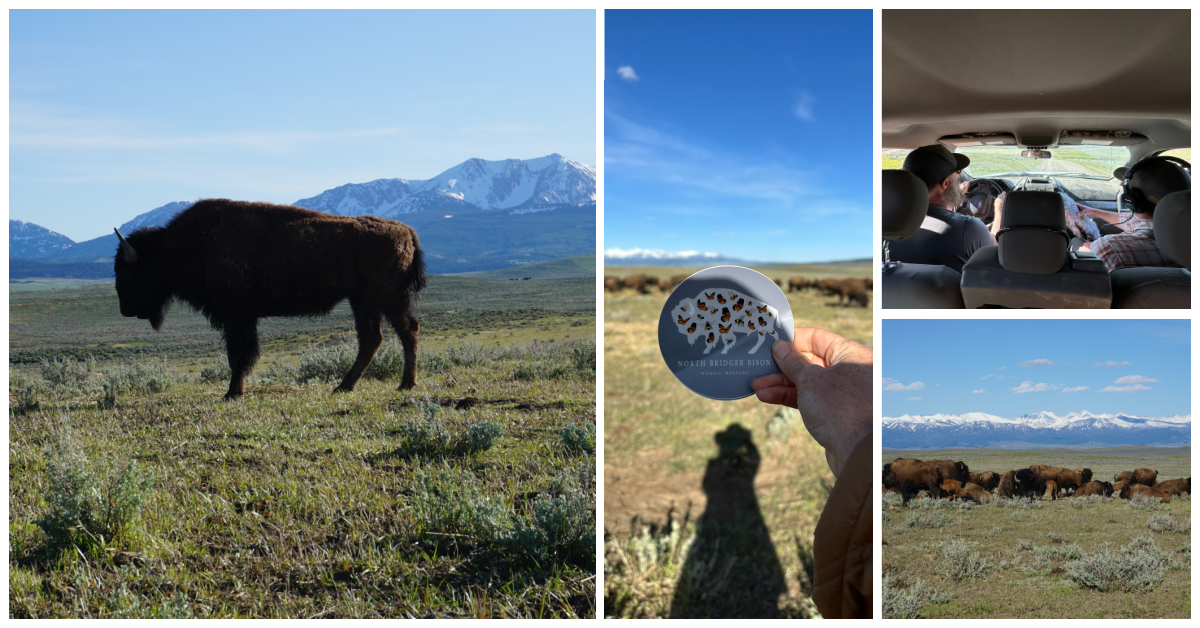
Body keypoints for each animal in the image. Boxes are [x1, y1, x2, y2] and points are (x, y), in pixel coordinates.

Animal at [114, 199, 425, 400]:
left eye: (127, 272)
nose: (125, 309)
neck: (192, 243)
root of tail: (406, 231)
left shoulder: (237, 312)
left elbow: (239, 352)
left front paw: (233, 393)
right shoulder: (238, 315)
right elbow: (238, 352)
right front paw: (234, 391)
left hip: (389, 296)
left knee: (407, 330)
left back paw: (405, 384)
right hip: (362, 299)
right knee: (372, 338)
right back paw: (343, 387)